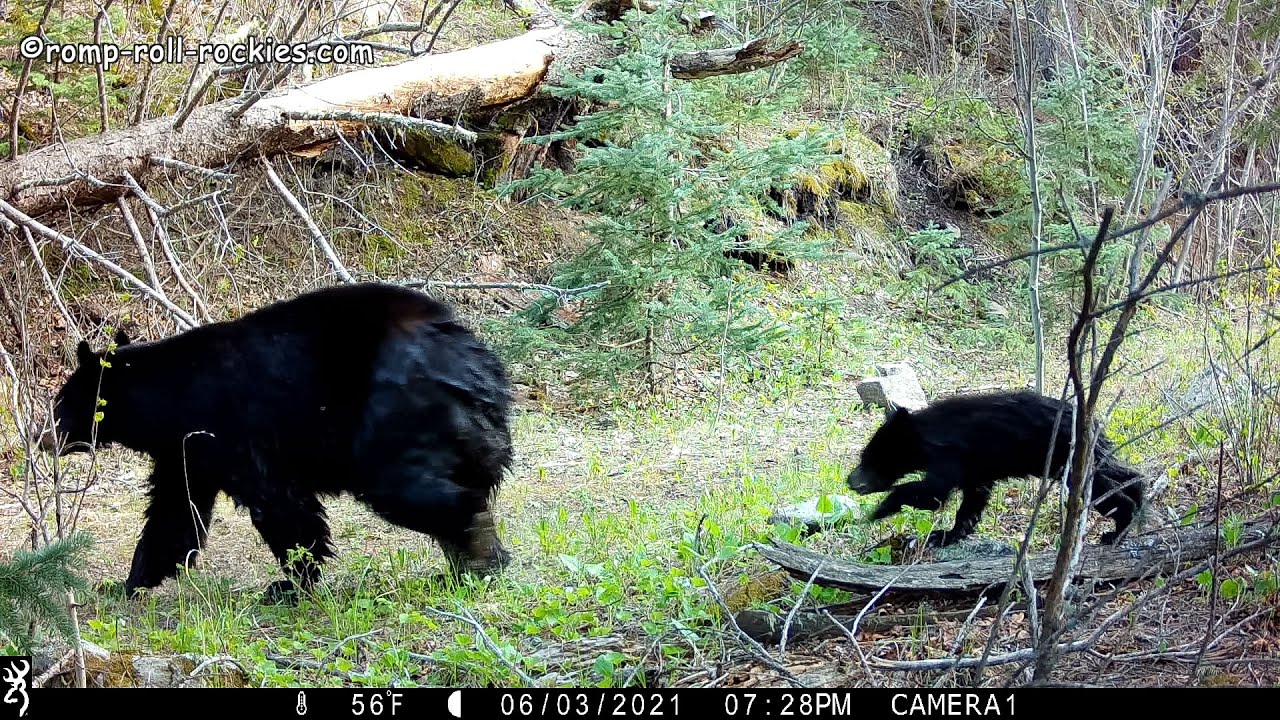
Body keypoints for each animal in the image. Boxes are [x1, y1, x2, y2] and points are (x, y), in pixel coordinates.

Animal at [39, 282, 516, 603]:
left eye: (61, 402)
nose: (42, 436)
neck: (170, 398)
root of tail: (478, 361)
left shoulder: (235, 430)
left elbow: (279, 503)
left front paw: (290, 583)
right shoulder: (187, 449)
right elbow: (174, 512)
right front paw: (126, 582)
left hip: (393, 414)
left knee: (411, 489)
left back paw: (479, 555)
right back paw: (462, 566)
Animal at [845, 389, 1146, 549]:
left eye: (868, 457)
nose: (850, 480)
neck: (926, 434)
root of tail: (1093, 422)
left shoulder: (950, 455)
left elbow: (934, 492)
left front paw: (877, 511)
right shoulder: (976, 470)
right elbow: (972, 500)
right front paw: (949, 534)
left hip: (1070, 461)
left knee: (1101, 488)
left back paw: (1117, 528)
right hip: (1090, 454)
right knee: (1120, 472)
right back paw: (1139, 496)